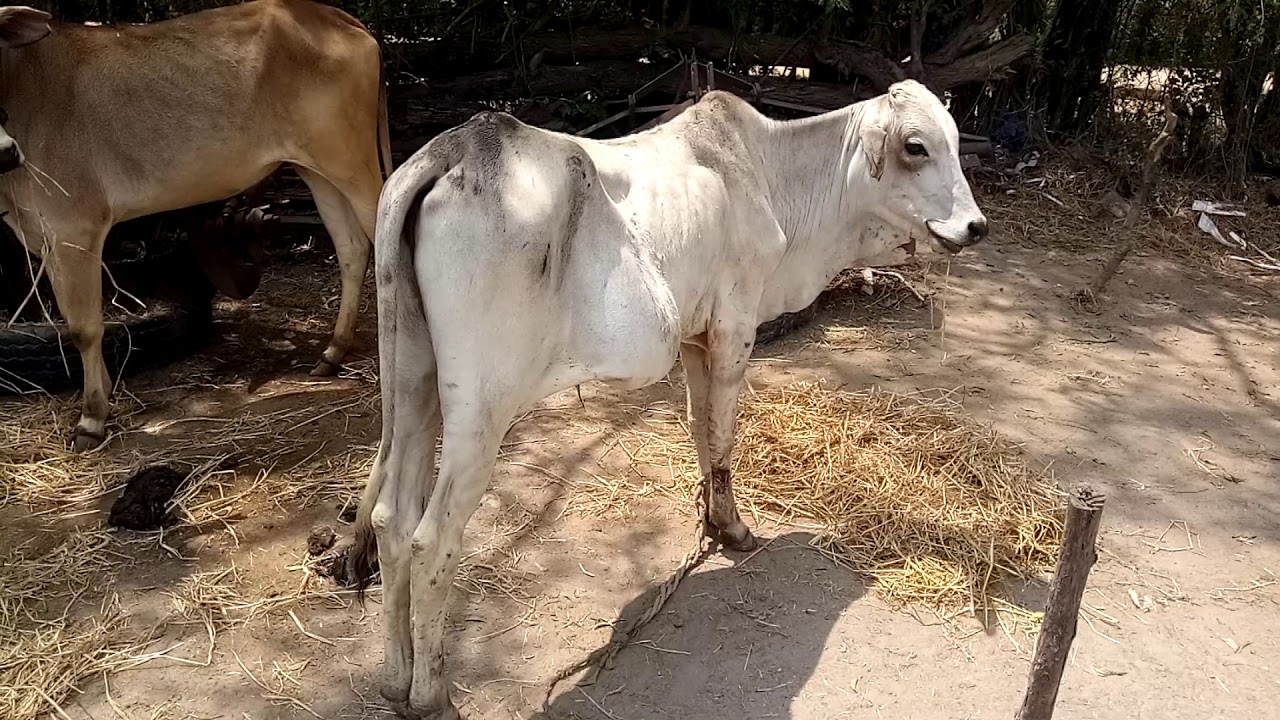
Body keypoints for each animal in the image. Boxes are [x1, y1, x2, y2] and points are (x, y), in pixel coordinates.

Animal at [0, 0, 390, 451]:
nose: (5, 151)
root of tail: (337, 17)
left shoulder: (75, 229)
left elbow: (84, 327)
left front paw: (92, 418)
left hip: (351, 162)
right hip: (316, 171)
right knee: (351, 248)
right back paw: (333, 352)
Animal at [347, 79, 988, 719]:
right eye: (915, 146)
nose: (975, 226)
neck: (773, 173)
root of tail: (454, 149)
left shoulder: (695, 337)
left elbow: (700, 425)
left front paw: (710, 518)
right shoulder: (734, 325)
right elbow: (723, 431)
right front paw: (732, 529)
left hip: (415, 383)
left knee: (391, 521)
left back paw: (396, 681)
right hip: (480, 412)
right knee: (432, 541)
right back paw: (432, 696)